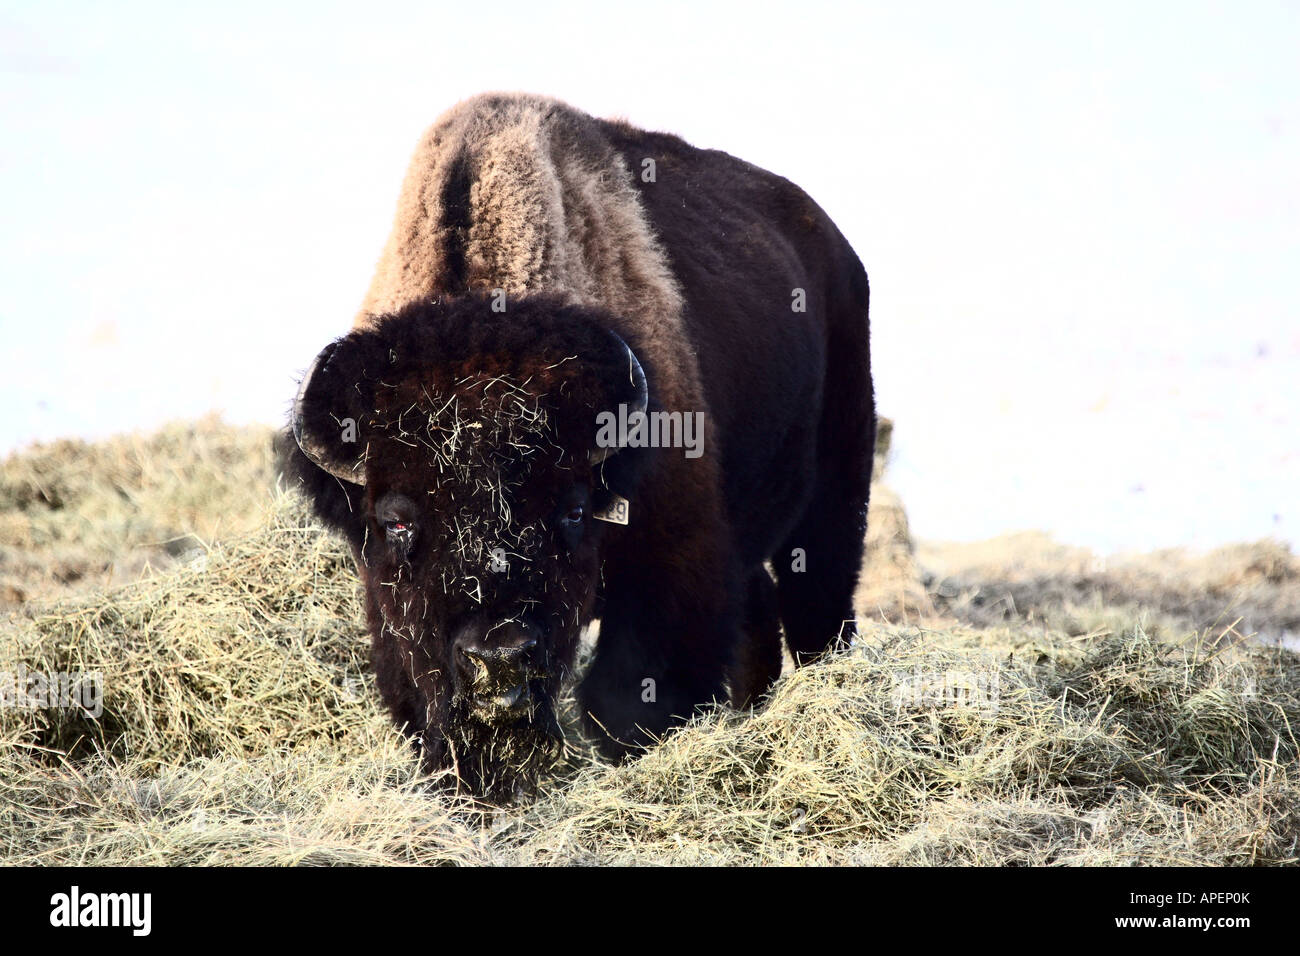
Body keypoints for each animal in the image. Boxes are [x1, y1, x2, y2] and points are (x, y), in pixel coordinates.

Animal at [282, 93, 874, 798]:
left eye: (570, 509)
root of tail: (835, 248)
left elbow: (626, 700)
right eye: (396, 521)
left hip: (837, 487)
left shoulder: (672, 564)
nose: (500, 659)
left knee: (820, 607)